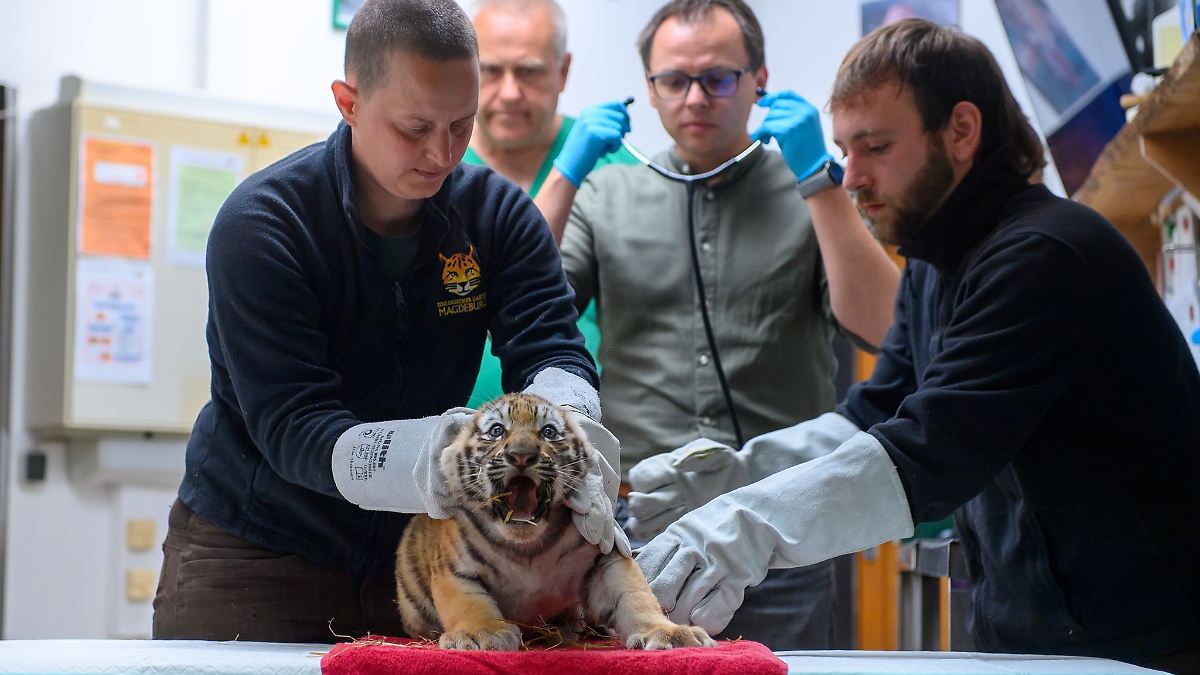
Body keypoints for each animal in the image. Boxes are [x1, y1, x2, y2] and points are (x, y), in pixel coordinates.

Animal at [394, 392, 716, 651]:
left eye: (548, 432)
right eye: (497, 431)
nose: (521, 455)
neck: (526, 547)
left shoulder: (605, 555)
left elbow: (635, 597)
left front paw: (670, 633)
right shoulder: (455, 570)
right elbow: (468, 601)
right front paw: (479, 634)